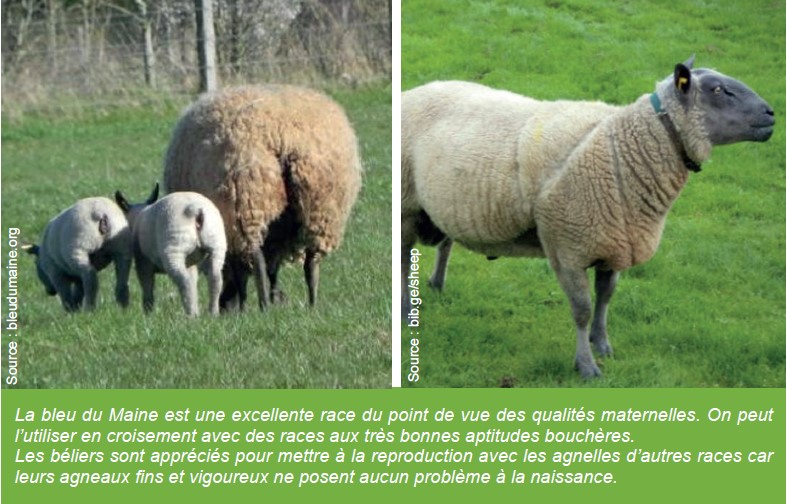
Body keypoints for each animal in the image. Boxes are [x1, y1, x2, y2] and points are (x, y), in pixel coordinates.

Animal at [115, 186, 227, 317]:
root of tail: (196, 209)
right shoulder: (190, 264)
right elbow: (193, 281)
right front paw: (196, 311)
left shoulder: (143, 262)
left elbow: (147, 287)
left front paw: (148, 313)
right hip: (217, 245)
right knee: (215, 278)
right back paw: (212, 313)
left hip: (174, 248)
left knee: (184, 281)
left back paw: (190, 316)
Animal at [163, 85, 362, 311]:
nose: (225, 307)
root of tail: (283, 135)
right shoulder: (278, 235)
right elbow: (272, 268)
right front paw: (276, 296)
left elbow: (244, 271)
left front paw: (248, 303)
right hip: (322, 206)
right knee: (311, 261)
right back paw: (312, 303)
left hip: (246, 204)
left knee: (256, 259)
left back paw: (263, 304)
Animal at [401, 57, 775, 378]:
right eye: (718, 90)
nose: (772, 114)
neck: (626, 147)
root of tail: (417, 89)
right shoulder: (569, 247)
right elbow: (581, 309)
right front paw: (586, 365)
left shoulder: (615, 241)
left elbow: (606, 297)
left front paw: (603, 344)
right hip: (407, 203)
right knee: (404, 259)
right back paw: (407, 310)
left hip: (445, 204)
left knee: (446, 243)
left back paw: (436, 284)